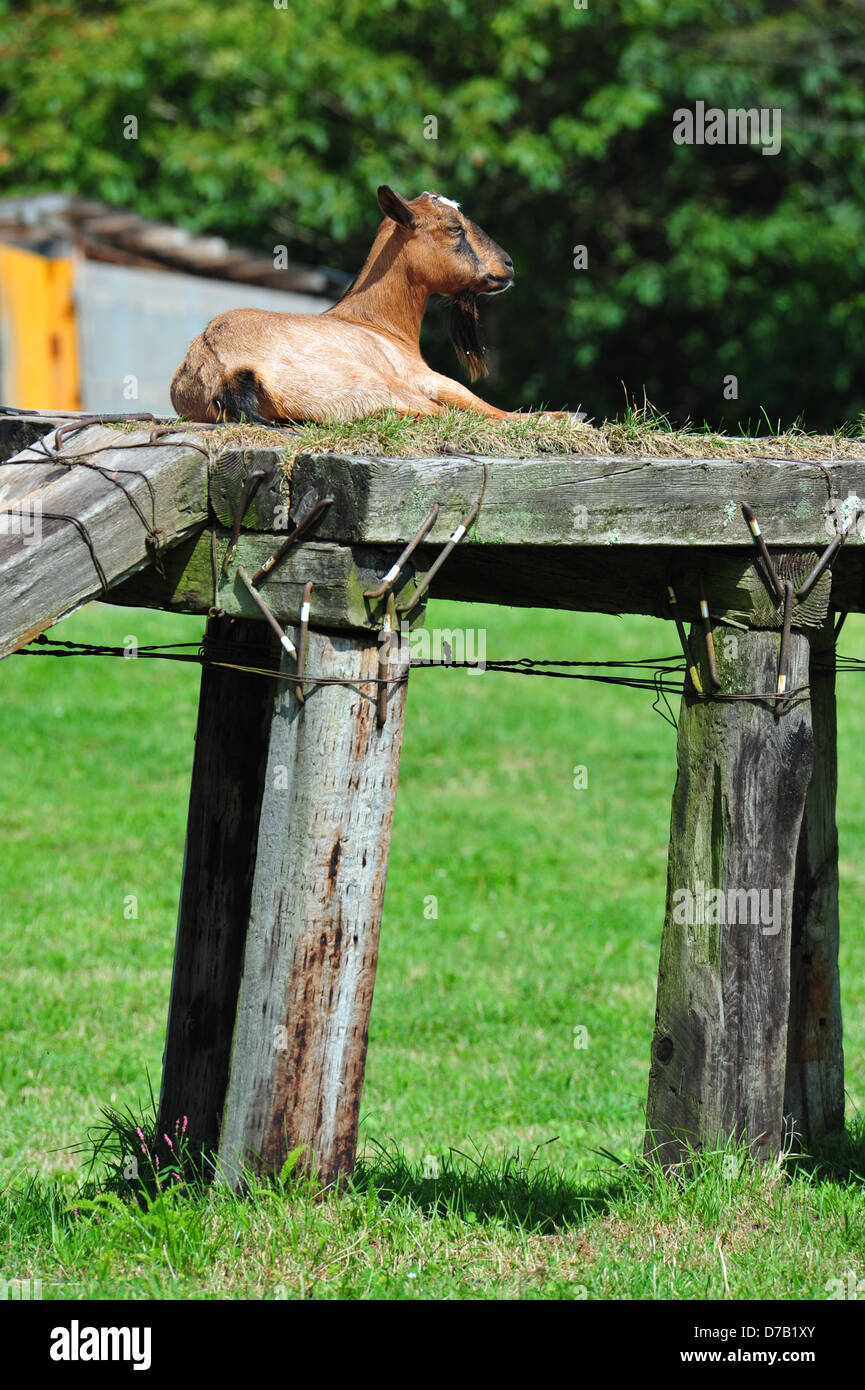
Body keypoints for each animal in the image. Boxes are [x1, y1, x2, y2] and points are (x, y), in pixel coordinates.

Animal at [174, 184, 570, 422]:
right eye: (455, 228)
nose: (508, 264)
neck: (377, 324)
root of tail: (226, 368)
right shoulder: (426, 377)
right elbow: (485, 407)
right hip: (372, 384)